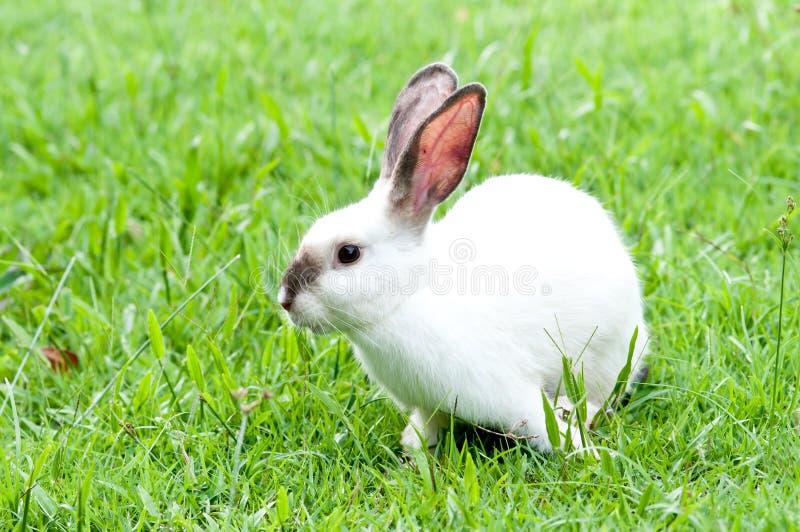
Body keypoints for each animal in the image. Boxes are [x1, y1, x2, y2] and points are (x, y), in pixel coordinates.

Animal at [277, 63, 648, 453]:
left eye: (348, 253)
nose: (286, 300)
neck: (406, 299)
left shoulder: (513, 396)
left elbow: (545, 426)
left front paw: (584, 451)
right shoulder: (429, 404)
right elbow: (428, 425)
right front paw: (414, 448)